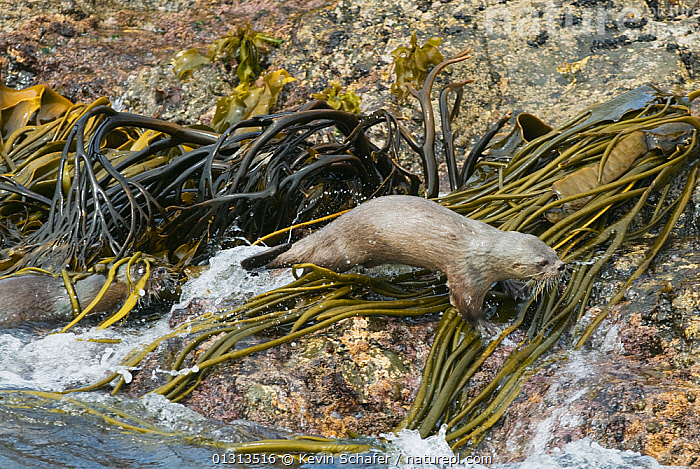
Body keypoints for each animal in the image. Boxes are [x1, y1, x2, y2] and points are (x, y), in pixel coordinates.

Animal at [243, 195, 565, 334]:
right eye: (542, 263)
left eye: (553, 250)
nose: (561, 267)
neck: (482, 246)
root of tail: (329, 229)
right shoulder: (465, 274)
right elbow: (465, 304)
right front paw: (484, 325)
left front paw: (515, 287)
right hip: (338, 254)